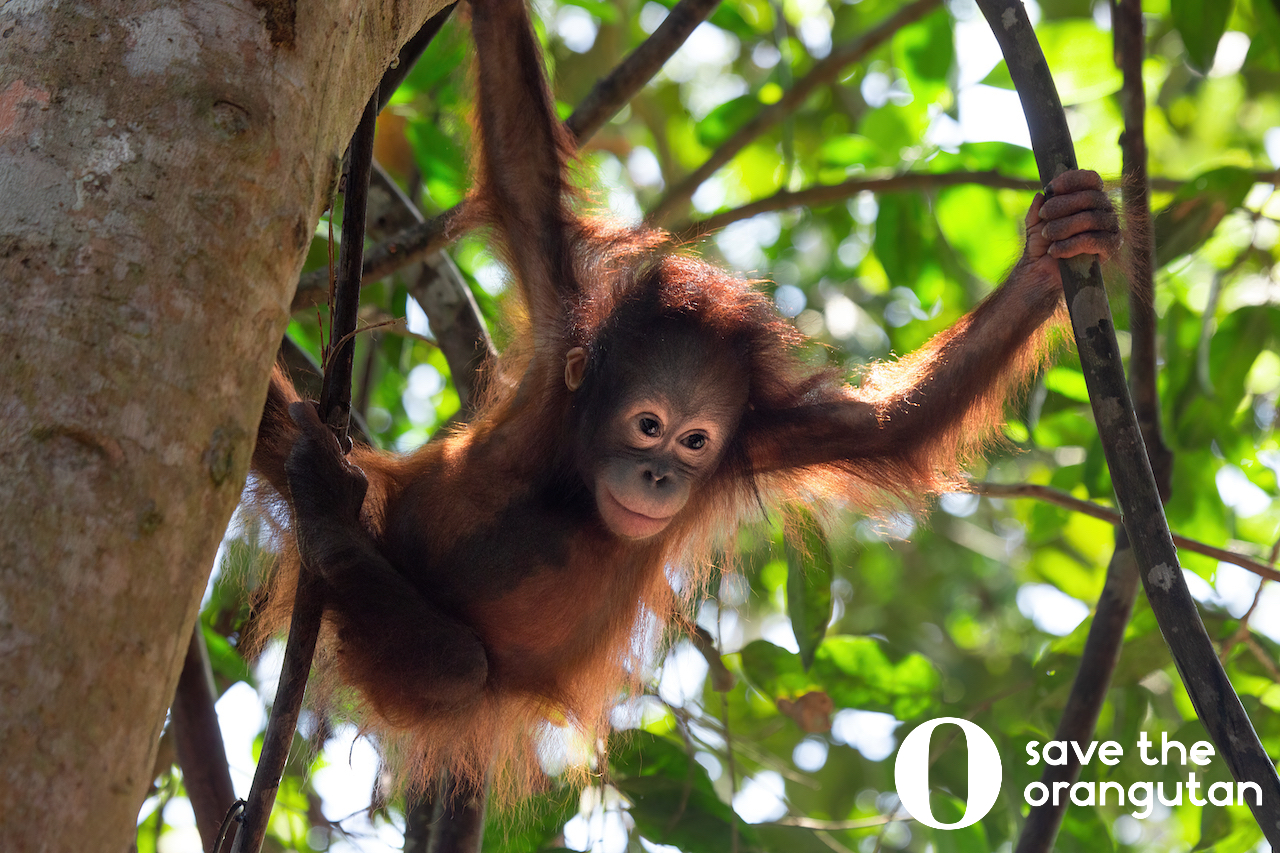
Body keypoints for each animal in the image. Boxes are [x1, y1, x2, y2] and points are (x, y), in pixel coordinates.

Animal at [249, 0, 1120, 798]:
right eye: (648, 425)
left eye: (695, 441)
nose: (661, 476)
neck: (574, 473)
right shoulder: (566, 331)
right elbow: (522, 167)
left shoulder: (762, 442)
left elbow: (894, 427)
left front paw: (1052, 252)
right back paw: (328, 505)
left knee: (454, 666)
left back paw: (329, 519)